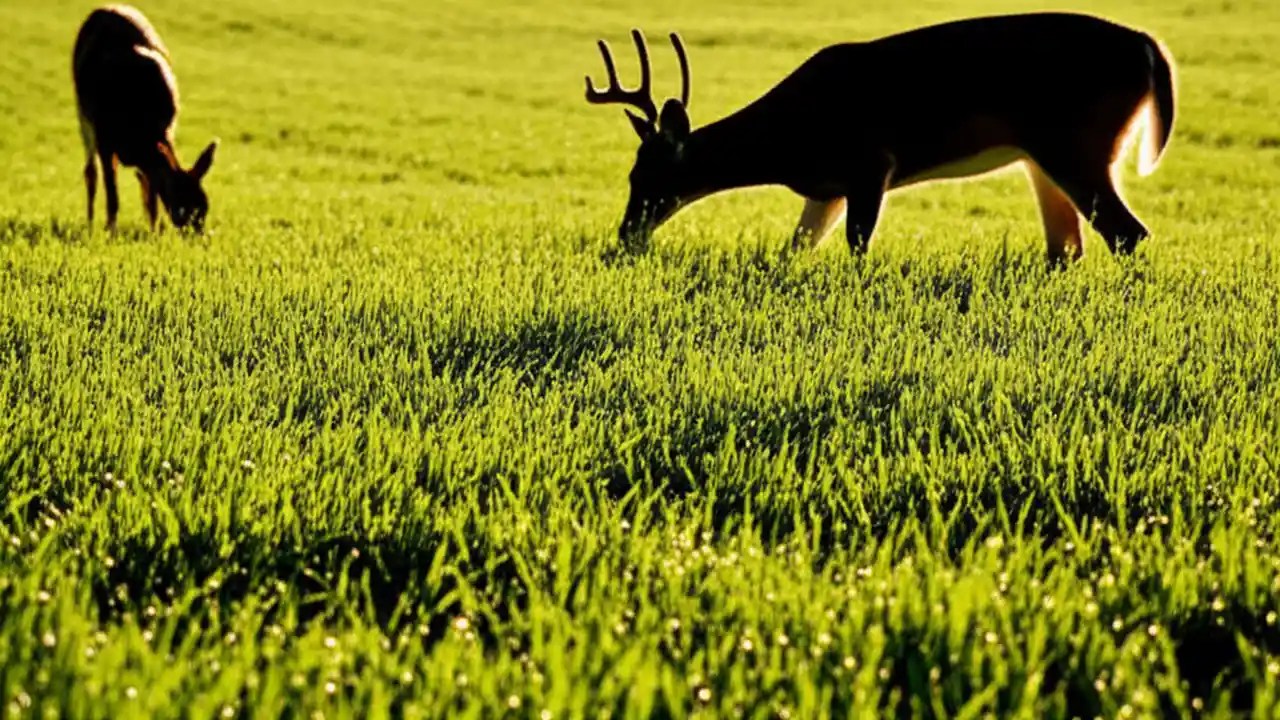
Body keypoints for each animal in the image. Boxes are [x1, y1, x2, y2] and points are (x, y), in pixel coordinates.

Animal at [73, 5, 218, 233]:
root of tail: (108, 6)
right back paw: (89, 224)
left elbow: (151, 195)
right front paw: (110, 233)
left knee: (142, 179)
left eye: (205, 207)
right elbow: (113, 197)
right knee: (91, 171)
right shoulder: (105, 138)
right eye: (181, 208)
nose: (198, 235)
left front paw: (154, 233)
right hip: (82, 111)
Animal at [585, 13, 1176, 264]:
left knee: (1128, 234)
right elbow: (795, 248)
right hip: (1044, 155)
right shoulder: (824, 190)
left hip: (1074, 143)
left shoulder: (870, 163)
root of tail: (1149, 47)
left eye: (644, 175)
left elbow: (857, 244)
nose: (626, 233)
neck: (785, 140)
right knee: (1068, 246)